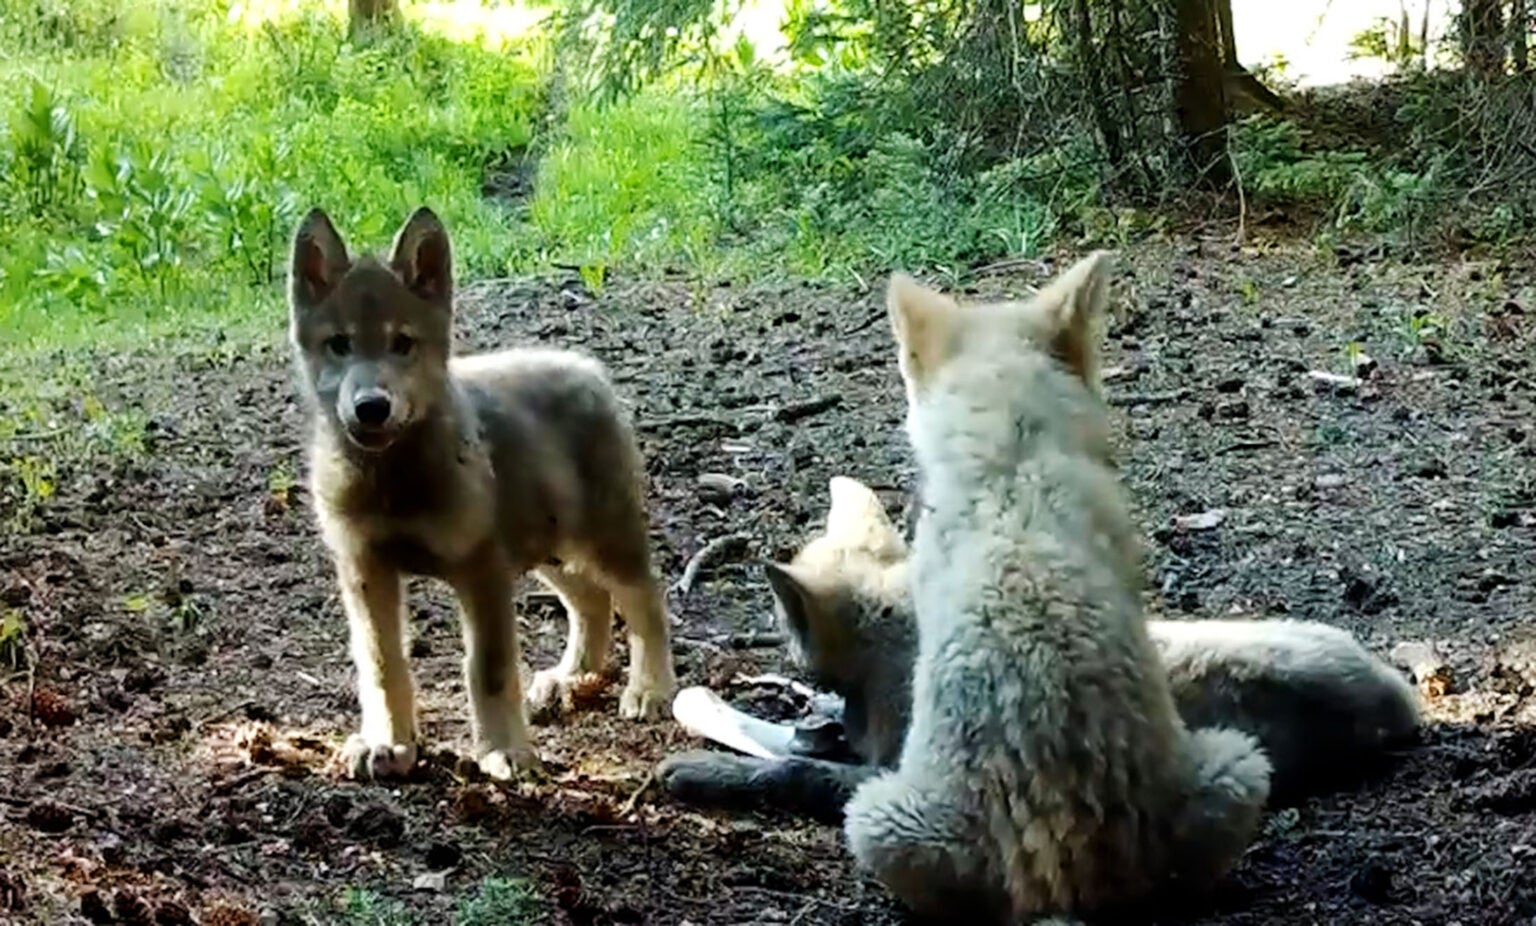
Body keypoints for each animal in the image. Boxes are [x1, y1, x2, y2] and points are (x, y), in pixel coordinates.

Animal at [288, 207, 676, 781]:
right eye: (339, 343)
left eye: (403, 343)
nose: (372, 407)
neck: (394, 481)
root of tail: (587, 369)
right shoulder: (364, 567)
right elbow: (382, 664)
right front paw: (389, 742)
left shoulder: (481, 567)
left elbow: (487, 668)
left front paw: (504, 750)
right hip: (546, 545)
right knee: (591, 601)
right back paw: (570, 677)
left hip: (601, 535)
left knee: (644, 596)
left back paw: (649, 688)